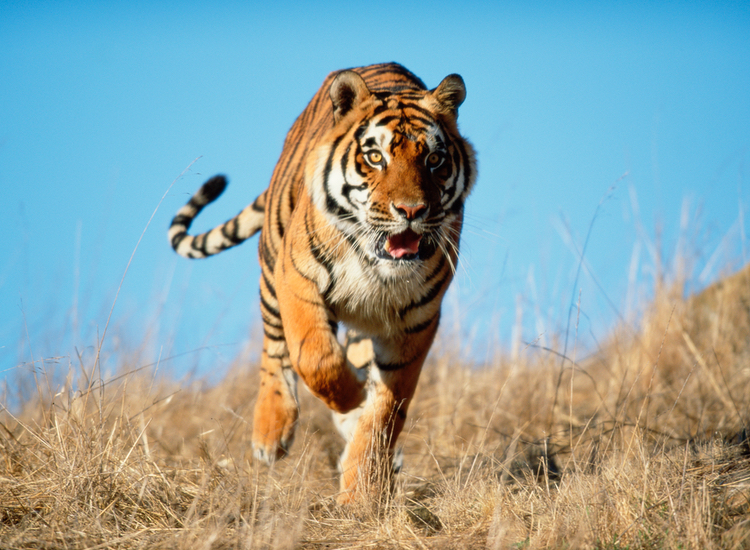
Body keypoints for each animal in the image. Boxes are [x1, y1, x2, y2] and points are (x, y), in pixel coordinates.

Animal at [168, 62, 476, 503]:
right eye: (375, 157)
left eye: (435, 159)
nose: (411, 211)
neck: (376, 268)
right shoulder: (298, 280)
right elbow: (317, 359)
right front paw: (351, 396)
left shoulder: (415, 323)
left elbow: (386, 411)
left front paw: (362, 489)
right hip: (272, 264)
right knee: (275, 348)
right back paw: (271, 433)